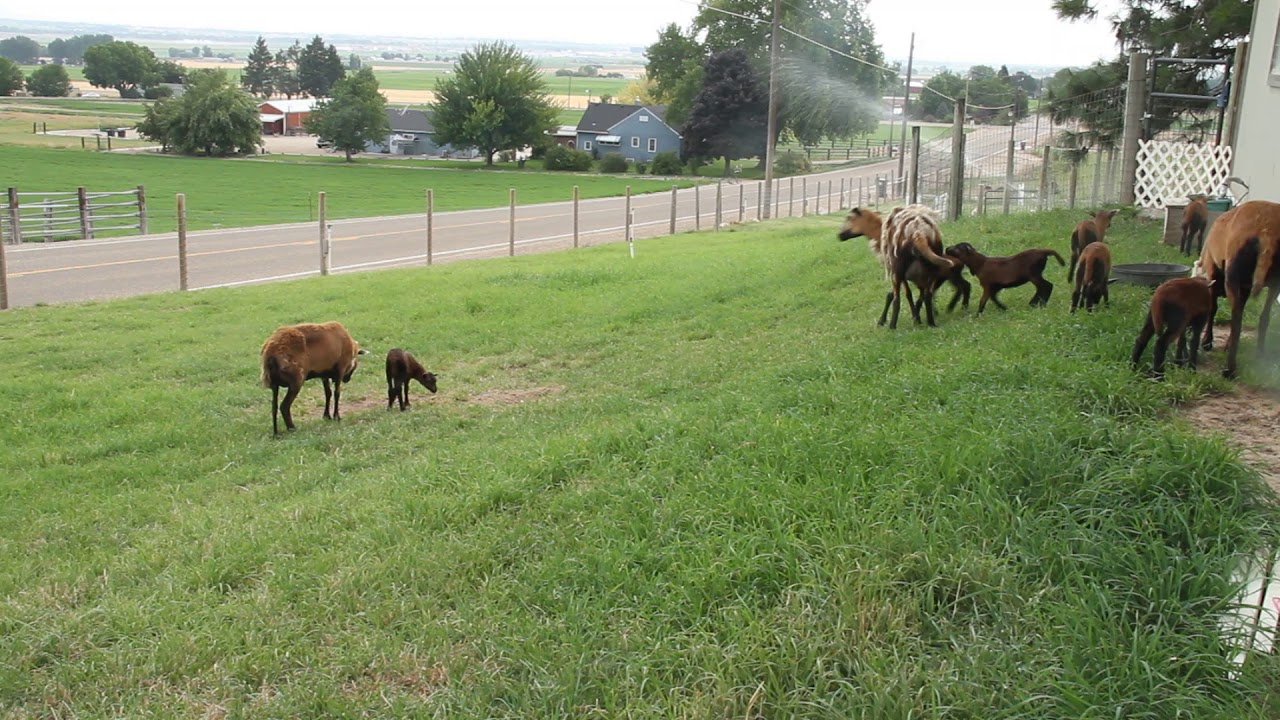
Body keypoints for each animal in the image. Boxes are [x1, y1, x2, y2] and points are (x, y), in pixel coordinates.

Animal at [1192, 199, 1280, 378]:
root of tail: (1267, 228)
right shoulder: (1244, 288)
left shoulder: (1213, 275)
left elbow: (1213, 309)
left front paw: (1207, 342)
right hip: (1276, 282)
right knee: (1263, 317)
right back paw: (1259, 355)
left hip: (1232, 275)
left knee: (1236, 321)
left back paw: (1230, 369)